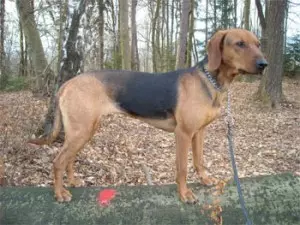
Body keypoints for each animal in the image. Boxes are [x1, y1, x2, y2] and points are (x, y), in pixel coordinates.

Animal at [28, 28, 268, 202]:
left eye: (258, 44)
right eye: (240, 44)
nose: (264, 64)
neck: (210, 80)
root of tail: (67, 83)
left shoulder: (199, 132)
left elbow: (199, 161)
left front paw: (205, 179)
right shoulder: (183, 134)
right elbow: (182, 168)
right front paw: (185, 194)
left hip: (82, 131)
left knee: (68, 159)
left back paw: (73, 182)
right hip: (81, 131)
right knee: (58, 161)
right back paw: (60, 193)